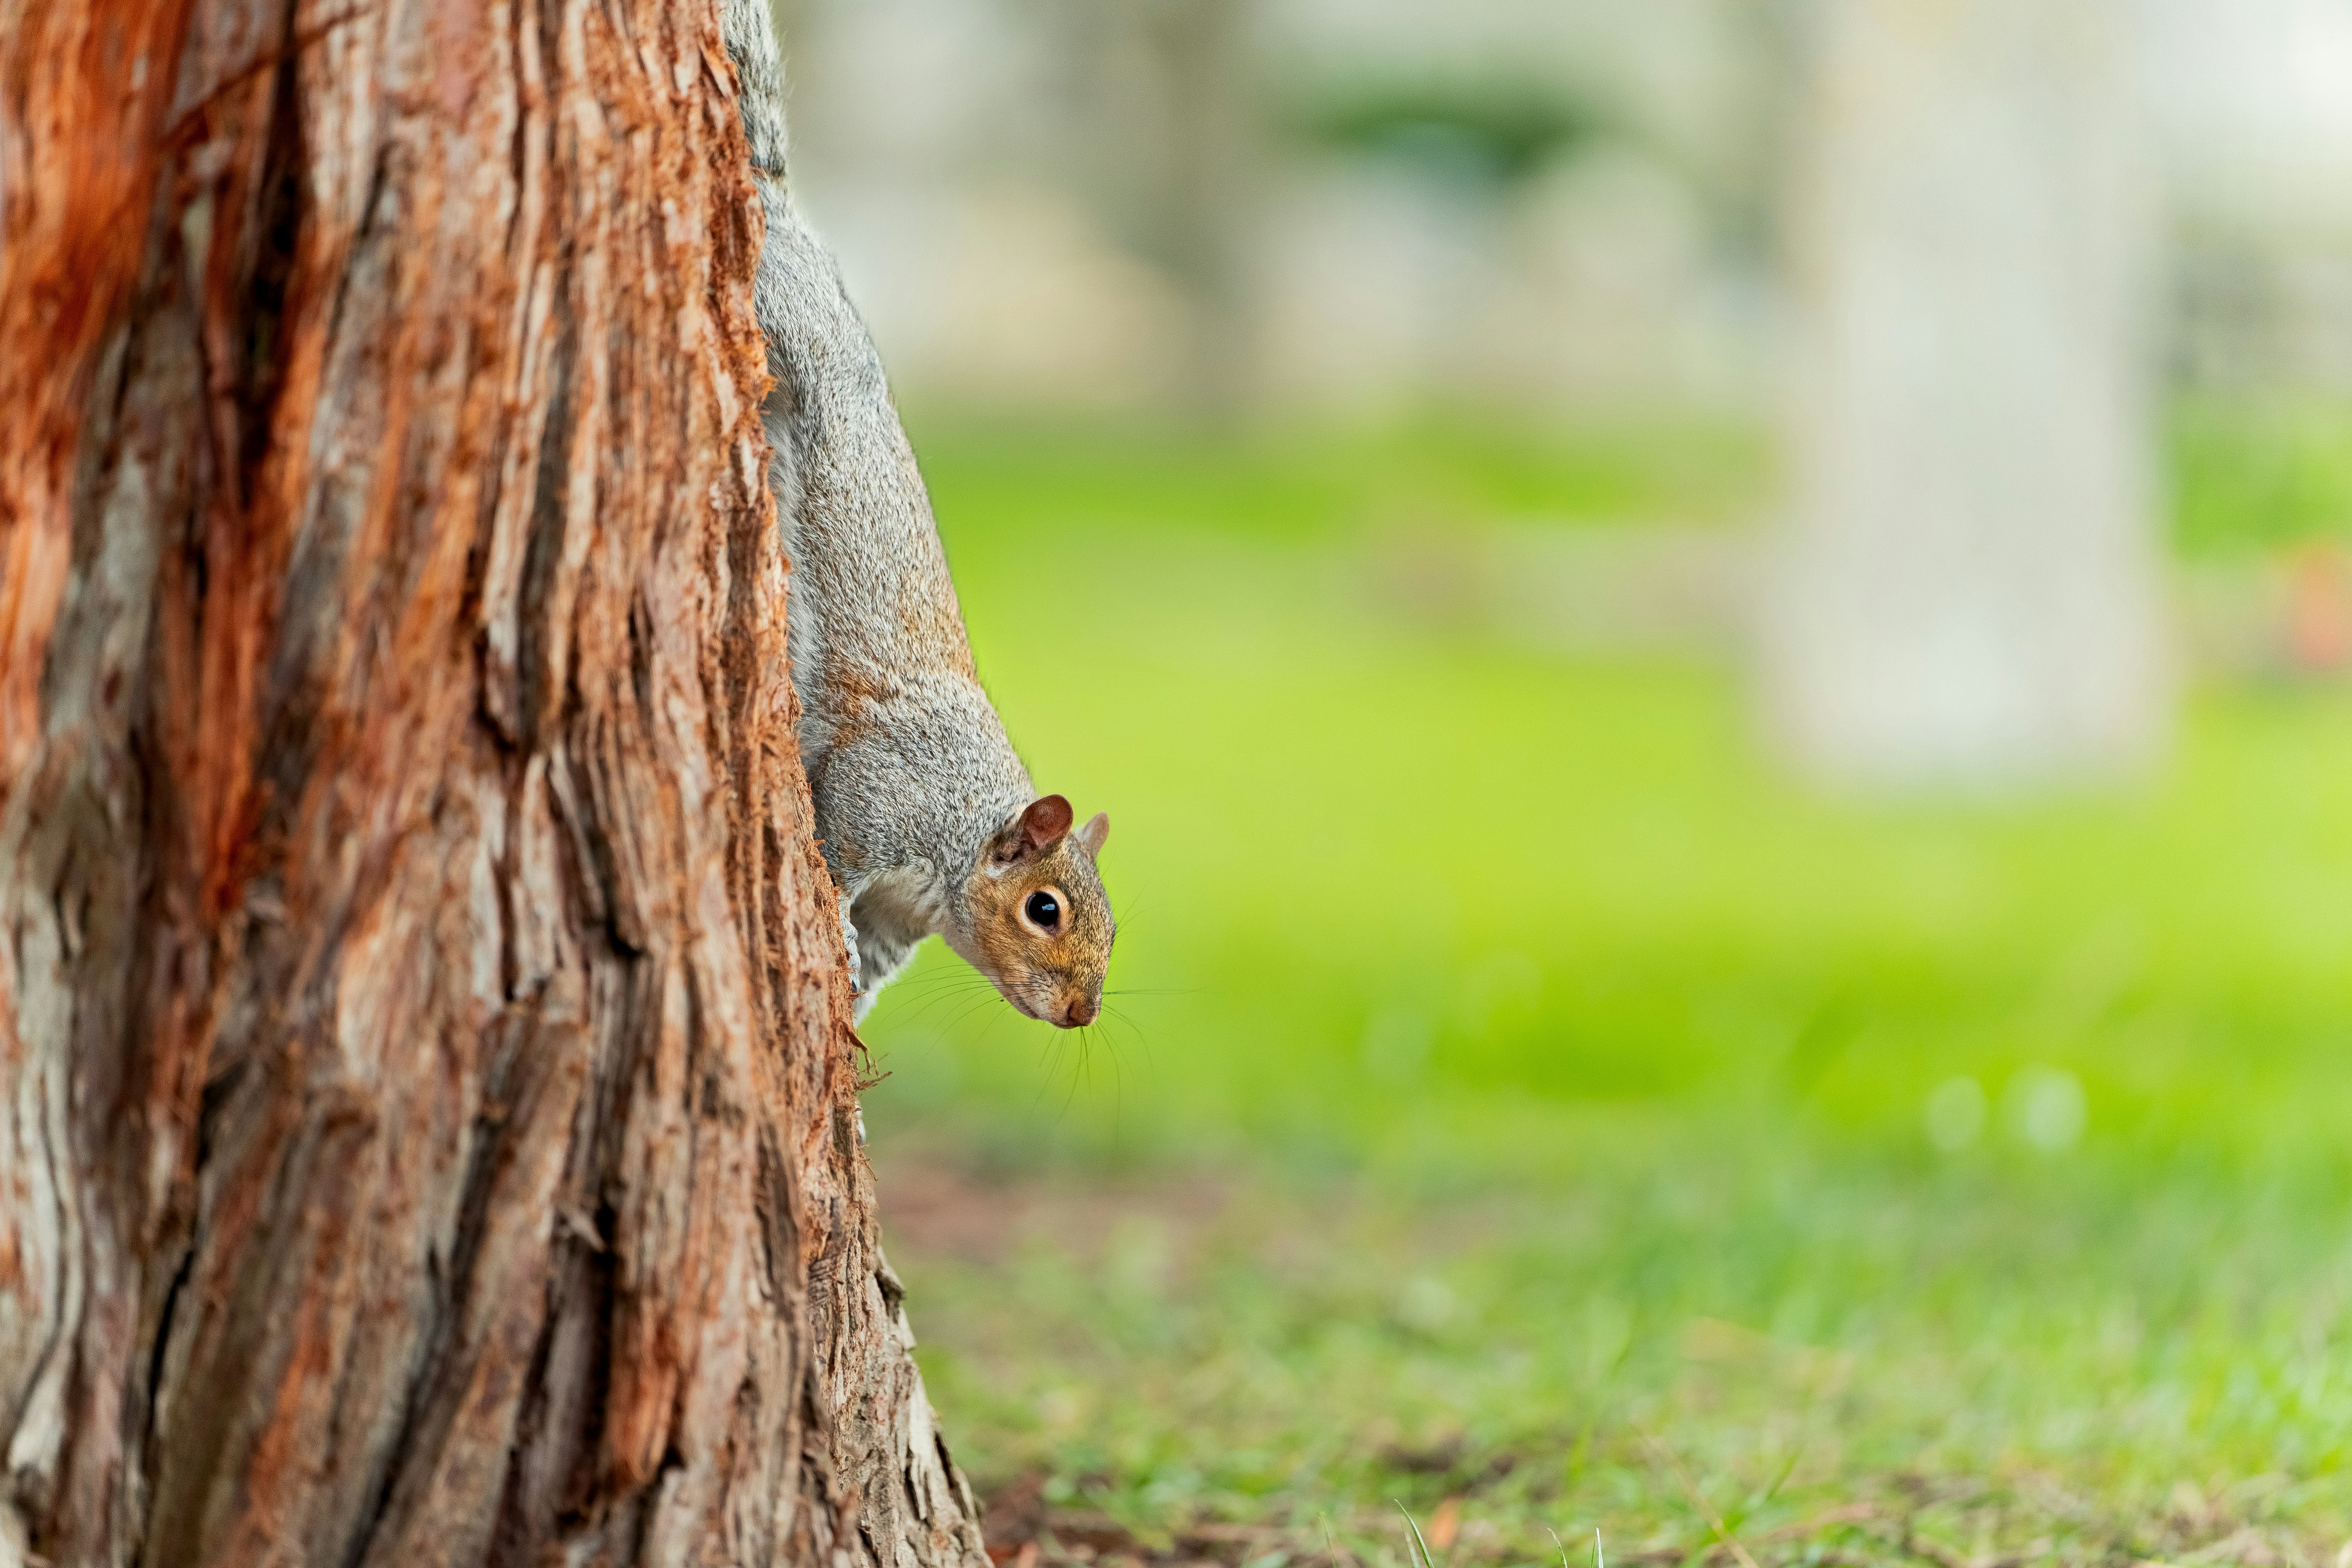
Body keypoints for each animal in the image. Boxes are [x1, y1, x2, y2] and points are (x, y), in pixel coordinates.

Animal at [722, 0, 1116, 1029]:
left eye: (1113, 922)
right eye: (1045, 908)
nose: (1082, 1013)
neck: (958, 838)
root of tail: (790, 219)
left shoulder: (899, 922)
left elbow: (866, 959)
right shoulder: (882, 796)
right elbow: (838, 855)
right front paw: (817, 900)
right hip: (795, 335)